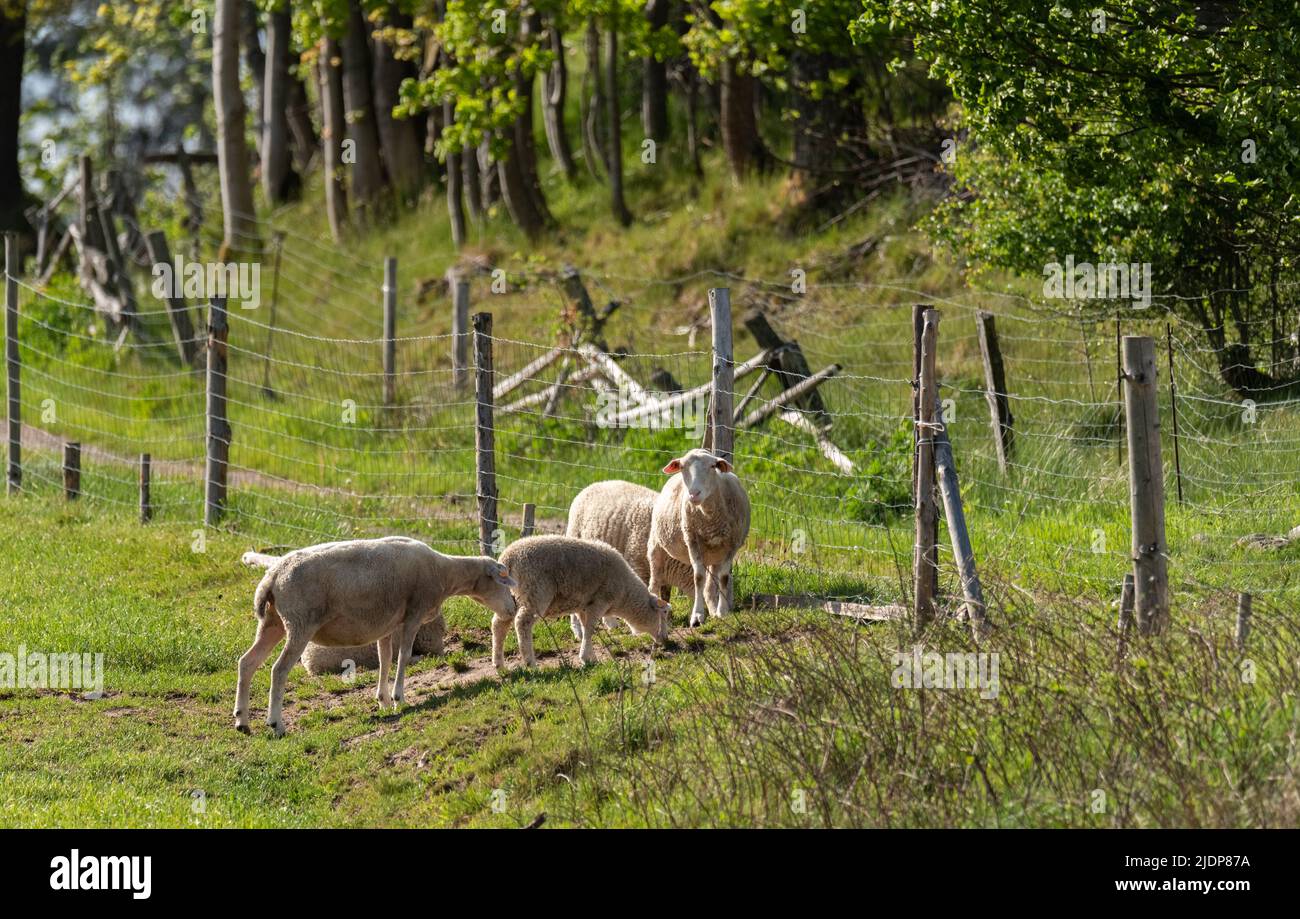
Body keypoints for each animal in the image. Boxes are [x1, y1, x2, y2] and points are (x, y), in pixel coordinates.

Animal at [233, 536, 517, 736]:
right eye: (502, 581)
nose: (513, 608)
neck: (444, 573)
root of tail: (272, 576)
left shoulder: (388, 623)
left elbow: (385, 659)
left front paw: (383, 701)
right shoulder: (414, 614)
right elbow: (403, 656)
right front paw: (399, 698)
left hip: (273, 623)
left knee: (247, 662)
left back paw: (242, 721)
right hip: (300, 624)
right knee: (278, 670)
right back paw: (276, 724)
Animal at [494, 535, 670, 668]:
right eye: (664, 613)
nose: (666, 640)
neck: (625, 595)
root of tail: (508, 558)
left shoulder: (583, 606)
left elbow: (586, 628)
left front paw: (591, 657)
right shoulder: (600, 602)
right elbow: (591, 629)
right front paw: (586, 658)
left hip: (510, 596)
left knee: (499, 624)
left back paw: (499, 665)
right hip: (535, 593)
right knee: (522, 623)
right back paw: (531, 663)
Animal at [564, 479, 694, 638]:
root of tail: (594, 484)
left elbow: (665, 597)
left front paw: (667, 619)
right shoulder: (639, 565)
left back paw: (611, 624)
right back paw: (579, 631)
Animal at [648, 448, 750, 627]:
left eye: (712, 466)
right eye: (682, 467)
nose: (693, 494)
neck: (709, 518)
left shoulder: (732, 545)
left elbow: (724, 578)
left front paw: (722, 612)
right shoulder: (692, 541)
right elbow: (698, 577)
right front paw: (697, 616)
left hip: (714, 555)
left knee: (710, 587)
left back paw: (714, 611)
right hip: (657, 548)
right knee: (654, 583)